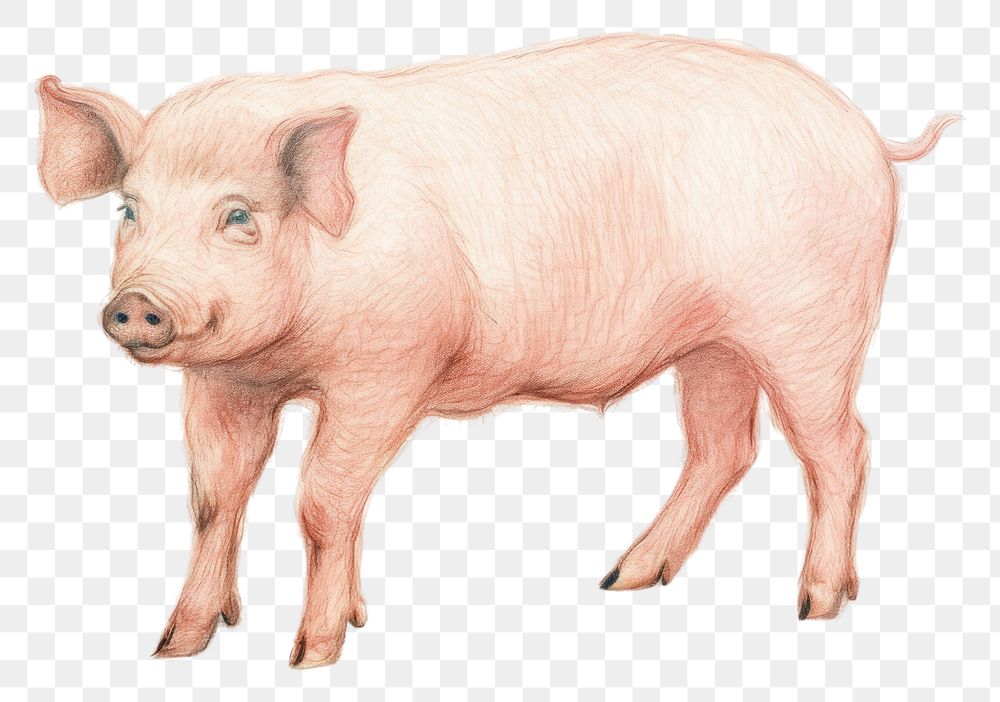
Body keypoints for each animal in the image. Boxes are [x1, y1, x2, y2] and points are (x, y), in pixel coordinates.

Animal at [36, 33, 957, 668]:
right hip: (715, 343)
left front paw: (314, 654)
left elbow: (324, 499)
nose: (138, 305)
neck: (287, 357)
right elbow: (214, 497)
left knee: (841, 448)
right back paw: (626, 578)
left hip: (815, 324)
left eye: (237, 216)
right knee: (726, 446)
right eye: (128, 210)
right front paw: (177, 646)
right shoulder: (224, 381)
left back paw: (815, 605)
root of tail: (868, 133)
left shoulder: (388, 368)